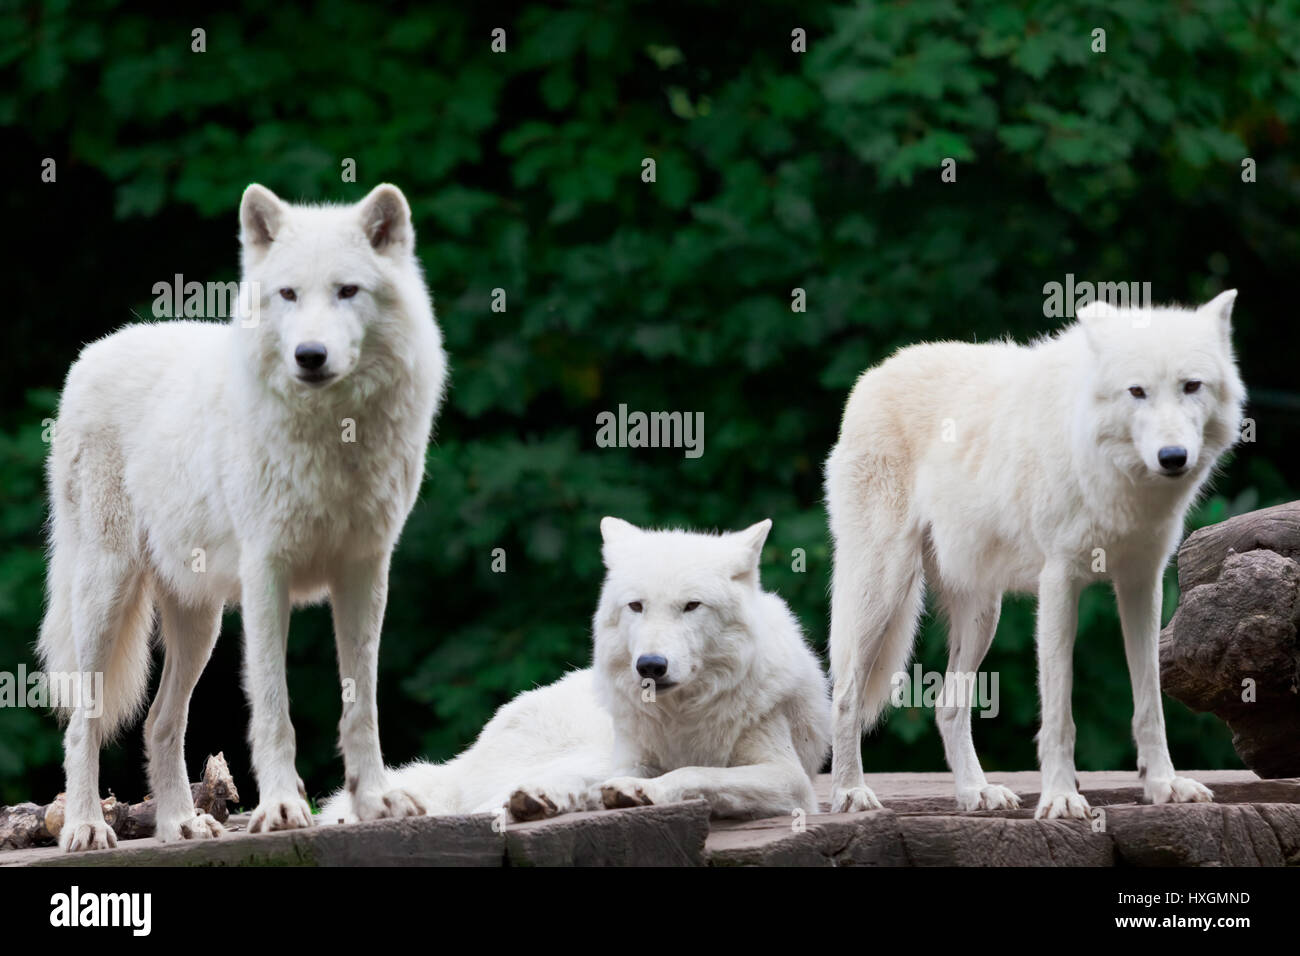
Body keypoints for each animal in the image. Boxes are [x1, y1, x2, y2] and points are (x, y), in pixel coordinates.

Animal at [37, 183, 447, 850]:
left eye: (347, 291)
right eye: (288, 294)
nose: (311, 355)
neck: (331, 437)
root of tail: (91, 353)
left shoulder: (365, 573)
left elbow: (362, 704)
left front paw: (376, 801)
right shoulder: (266, 575)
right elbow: (275, 707)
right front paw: (280, 807)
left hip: (198, 620)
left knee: (159, 721)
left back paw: (181, 824)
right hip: (105, 595)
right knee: (83, 724)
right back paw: (85, 827)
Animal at [321, 518, 830, 824]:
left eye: (691, 606)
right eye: (637, 606)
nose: (651, 665)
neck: (682, 716)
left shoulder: (788, 778)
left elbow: (697, 774)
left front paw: (642, 792)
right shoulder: (629, 757)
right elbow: (663, 774)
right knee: (482, 804)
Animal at [824, 291, 1245, 819]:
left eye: (1191, 386)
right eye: (1137, 392)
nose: (1173, 457)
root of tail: (875, 373)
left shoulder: (1142, 583)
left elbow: (1151, 704)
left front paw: (1165, 786)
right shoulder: (1060, 582)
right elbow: (1060, 714)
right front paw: (1062, 798)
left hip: (982, 612)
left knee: (947, 704)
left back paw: (976, 793)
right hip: (884, 588)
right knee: (845, 694)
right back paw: (849, 793)